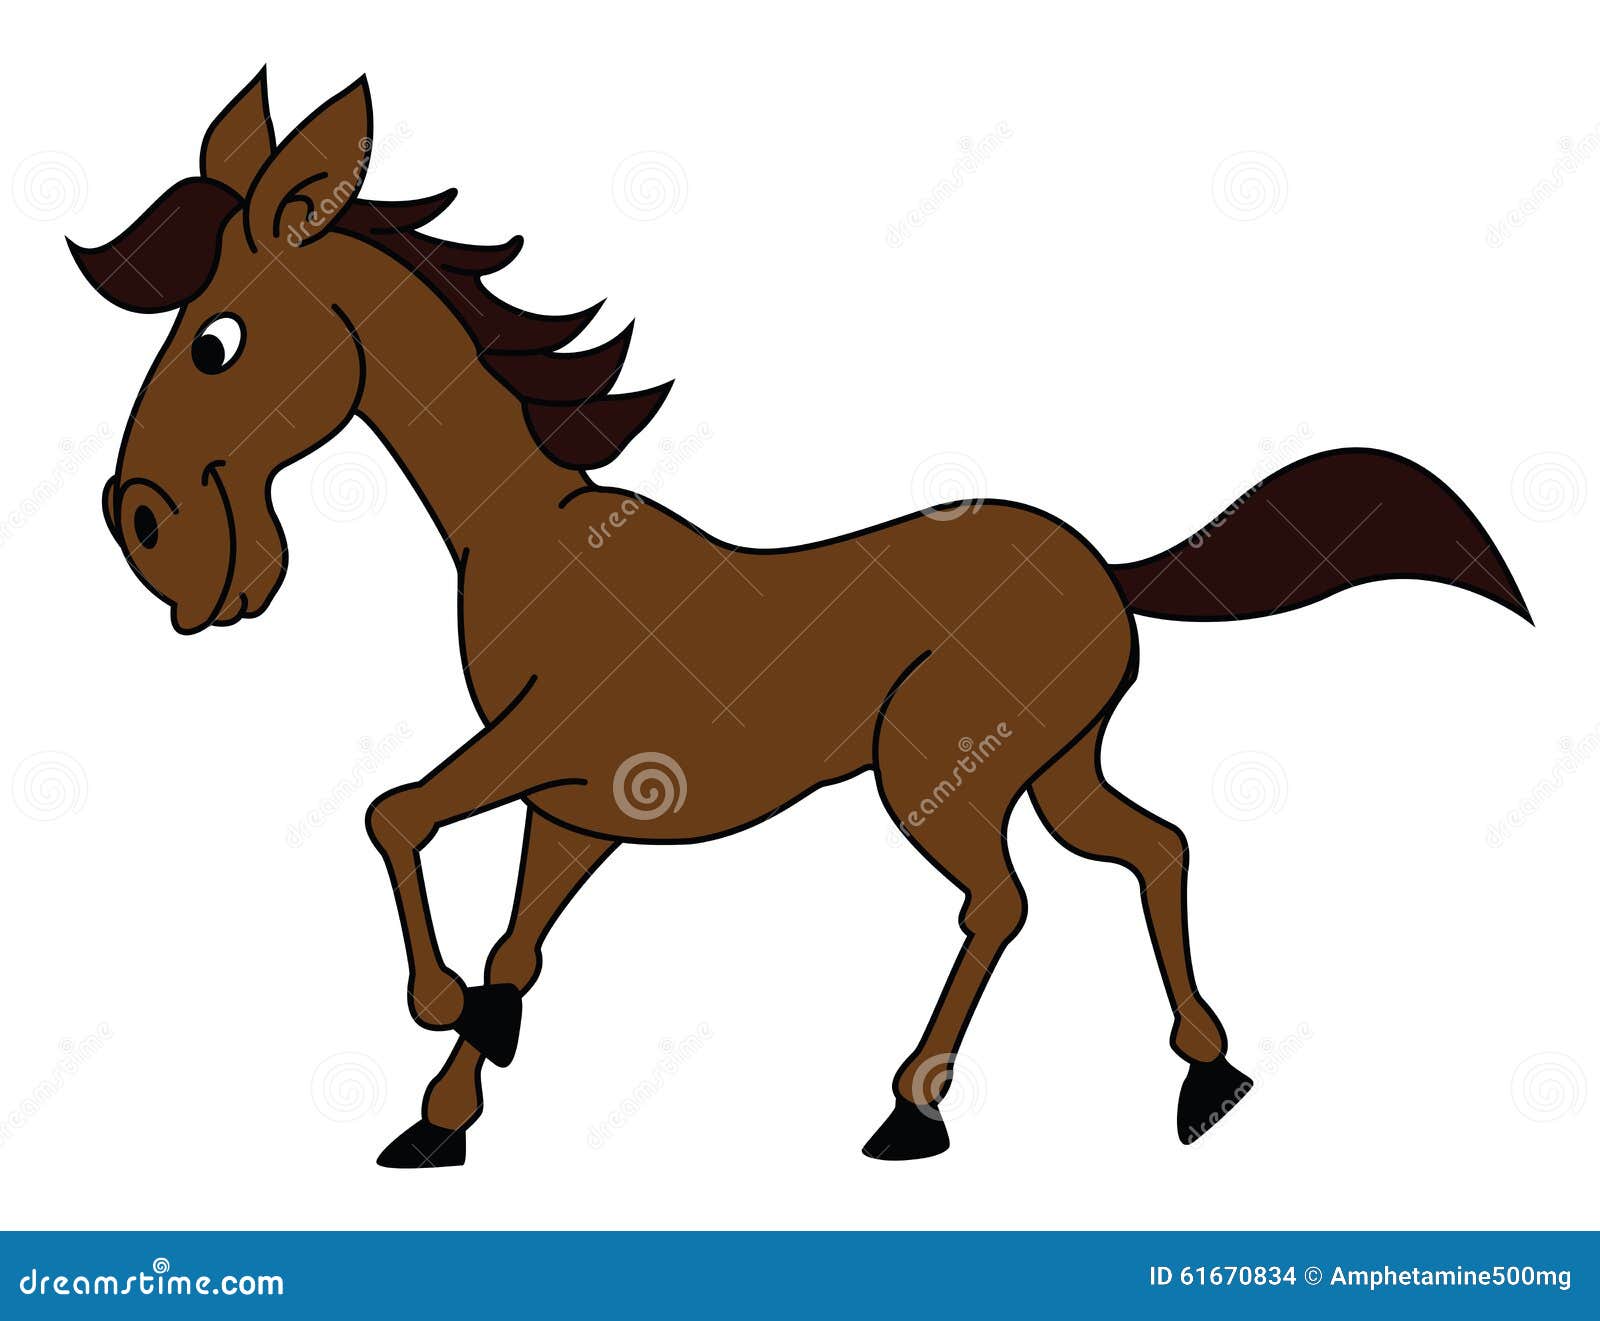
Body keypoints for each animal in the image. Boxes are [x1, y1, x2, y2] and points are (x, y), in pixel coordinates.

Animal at [72, 72, 1529, 1167]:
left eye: (215, 340)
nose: (137, 524)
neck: (526, 542)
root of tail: (1107, 572)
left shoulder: (548, 749)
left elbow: (396, 817)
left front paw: (449, 1020)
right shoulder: (579, 806)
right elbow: (515, 938)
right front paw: (450, 1103)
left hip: (941, 775)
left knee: (1002, 903)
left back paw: (911, 1112)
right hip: (1056, 765)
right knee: (1151, 849)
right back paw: (1205, 1082)